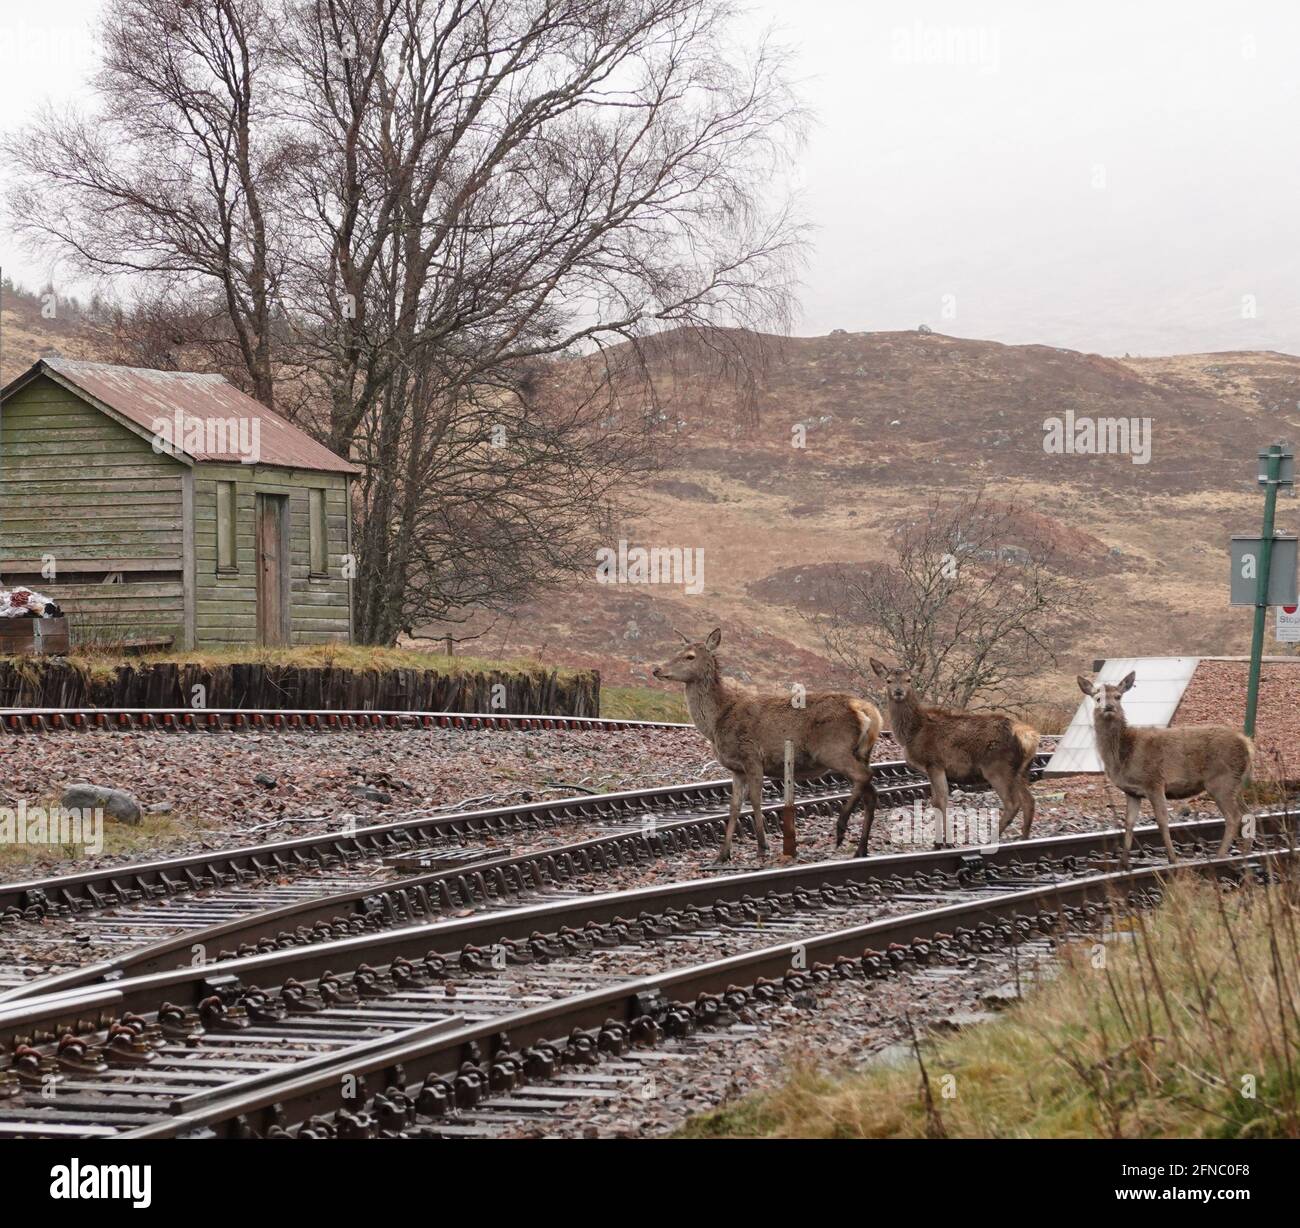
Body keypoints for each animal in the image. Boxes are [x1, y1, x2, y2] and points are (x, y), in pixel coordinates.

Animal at [652, 628, 883, 861]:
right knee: (870, 793)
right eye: (677, 651)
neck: (717, 721)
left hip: (832, 749)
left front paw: (762, 846)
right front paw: (723, 854)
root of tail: (869, 712)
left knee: (864, 776)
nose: (657, 669)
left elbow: (755, 800)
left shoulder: (752, 756)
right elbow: (734, 807)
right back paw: (861, 848)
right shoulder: (737, 768)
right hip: (862, 752)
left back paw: (841, 827)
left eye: (689, 656)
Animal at [869, 657, 1040, 847]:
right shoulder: (931, 769)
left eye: (909, 679)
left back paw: (991, 839)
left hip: (997, 768)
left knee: (1013, 803)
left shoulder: (934, 762)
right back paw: (1024, 837)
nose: (898, 692)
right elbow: (935, 801)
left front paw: (946, 842)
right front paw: (938, 842)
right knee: (1029, 800)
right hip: (1020, 772)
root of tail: (1030, 737)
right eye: (888, 680)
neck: (912, 732)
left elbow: (941, 801)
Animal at [1076, 671, 1254, 865]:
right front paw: (1123, 863)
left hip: (1221, 781)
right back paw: (1246, 853)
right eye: (1097, 697)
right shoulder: (1132, 791)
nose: (1108, 707)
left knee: (1233, 817)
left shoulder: (1154, 781)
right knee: (1248, 813)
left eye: (1118, 696)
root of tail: (1247, 744)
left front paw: (1172, 859)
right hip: (1235, 784)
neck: (1123, 755)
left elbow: (1162, 820)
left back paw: (1221, 856)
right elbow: (1129, 823)